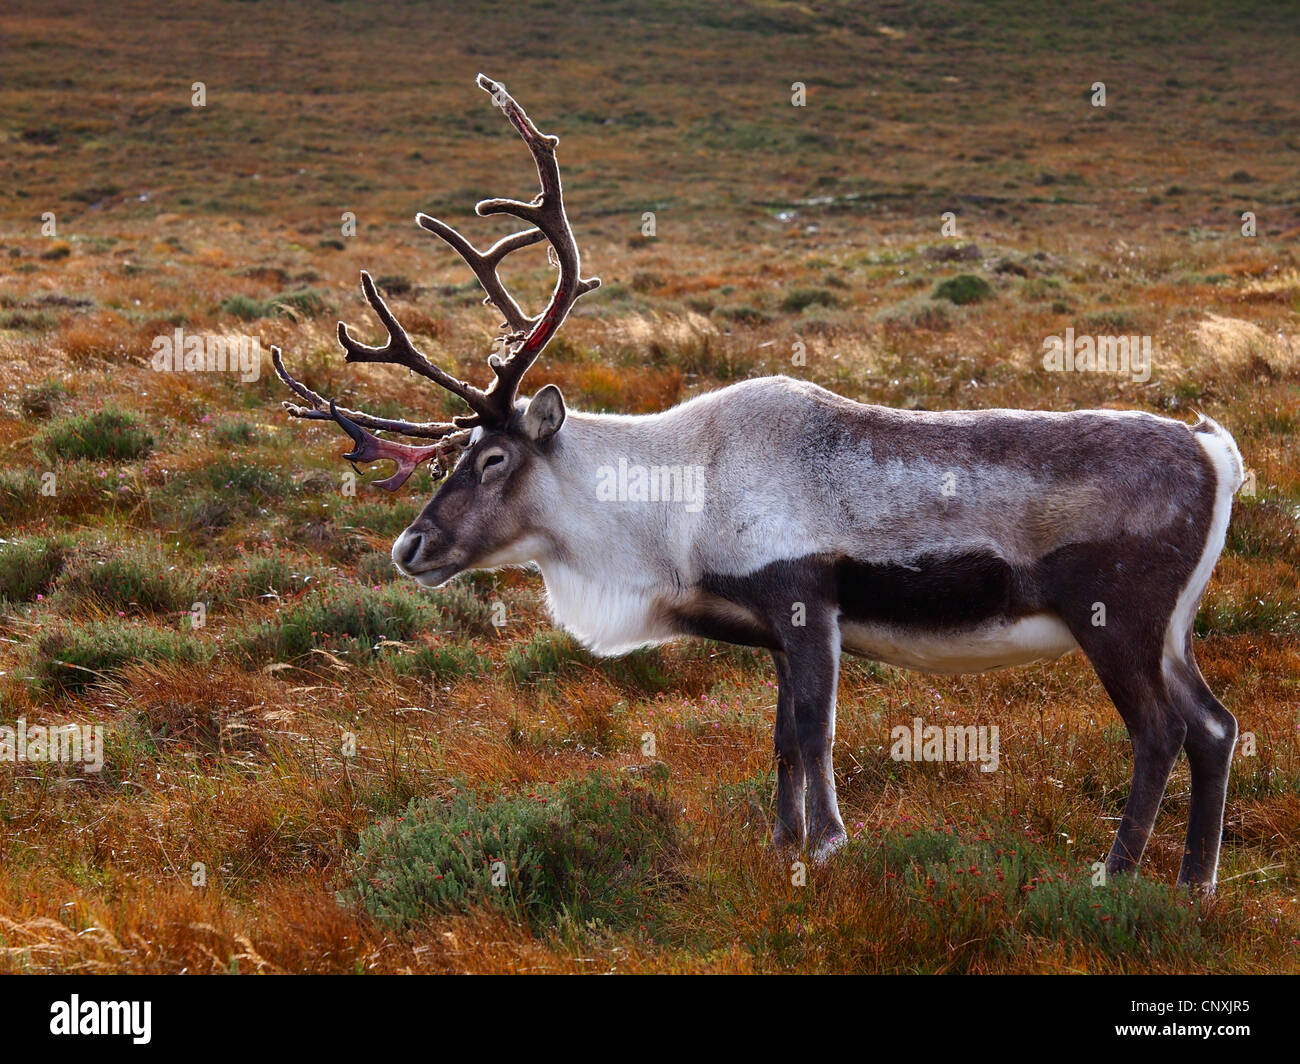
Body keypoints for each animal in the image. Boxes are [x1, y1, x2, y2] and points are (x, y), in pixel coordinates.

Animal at [273, 74, 1245, 891]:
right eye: (450, 454)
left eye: (493, 458)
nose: (411, 546)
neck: (673, 504)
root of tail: (1216, 453)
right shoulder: (775, 631)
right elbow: (780, 742)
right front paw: (782, 843)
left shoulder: (806, 603)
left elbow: (814, 736)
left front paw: (828, 847)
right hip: (1171, 629)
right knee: (1215, 726)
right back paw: (1195, 884)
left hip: (1115, 618)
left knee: (1160, 732)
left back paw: (1115, 874)